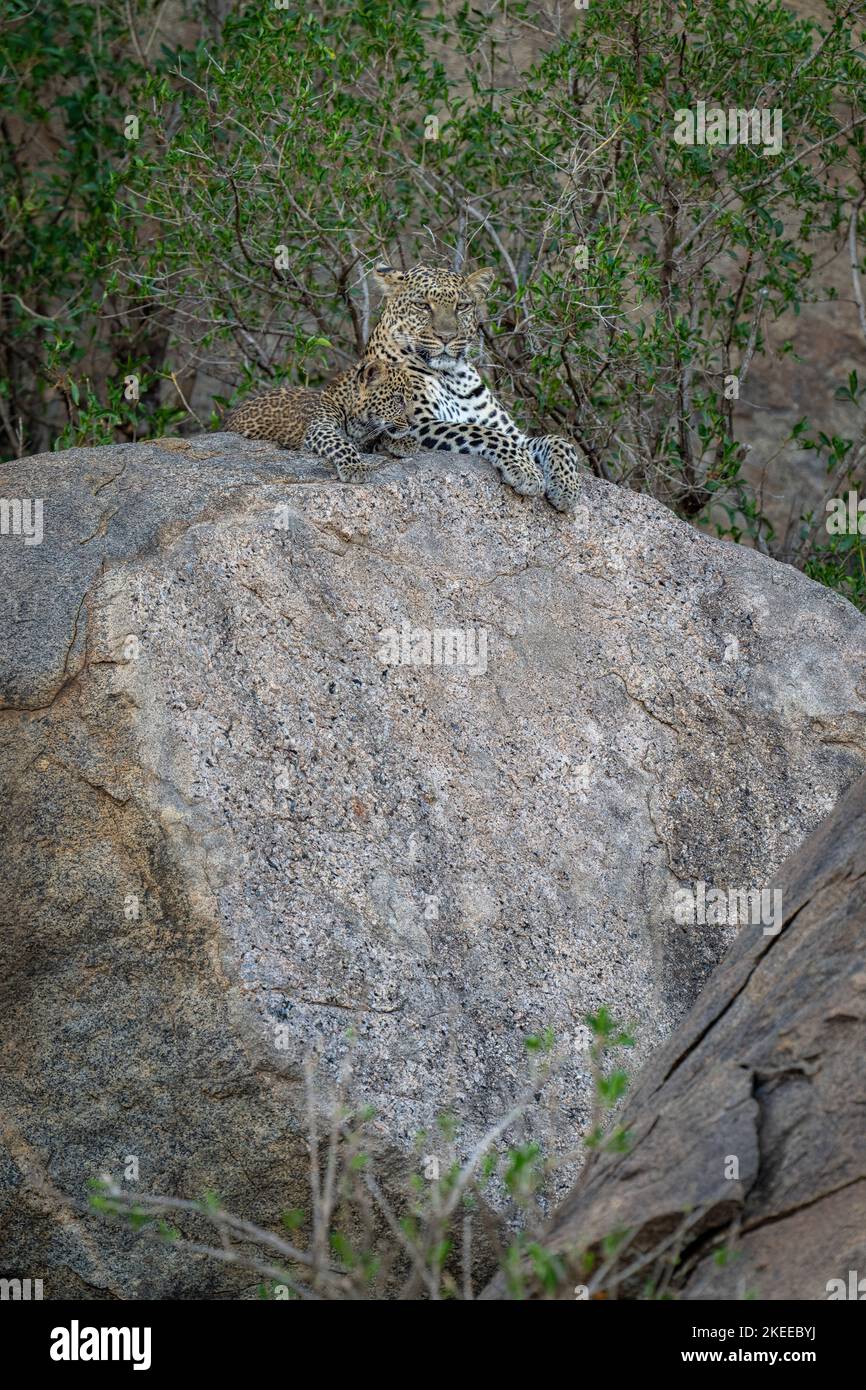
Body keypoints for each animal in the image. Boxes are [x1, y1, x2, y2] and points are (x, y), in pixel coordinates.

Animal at [222, 357, 416, 481]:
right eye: (398, 399)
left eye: (410, 397)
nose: (413, 422)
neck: (359, 424)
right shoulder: (319, 428)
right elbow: (343, 444)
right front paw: (355, 468)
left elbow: (383, 433)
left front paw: (406, 442)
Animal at [360, 263, 585, 512]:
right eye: (422, 305)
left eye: (462, 306)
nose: (446, 337)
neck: (452, 377)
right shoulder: (414, 423)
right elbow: (484, 432)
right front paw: (526, 471)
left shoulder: (515, 434)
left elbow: (558, 440)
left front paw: (567, 486)